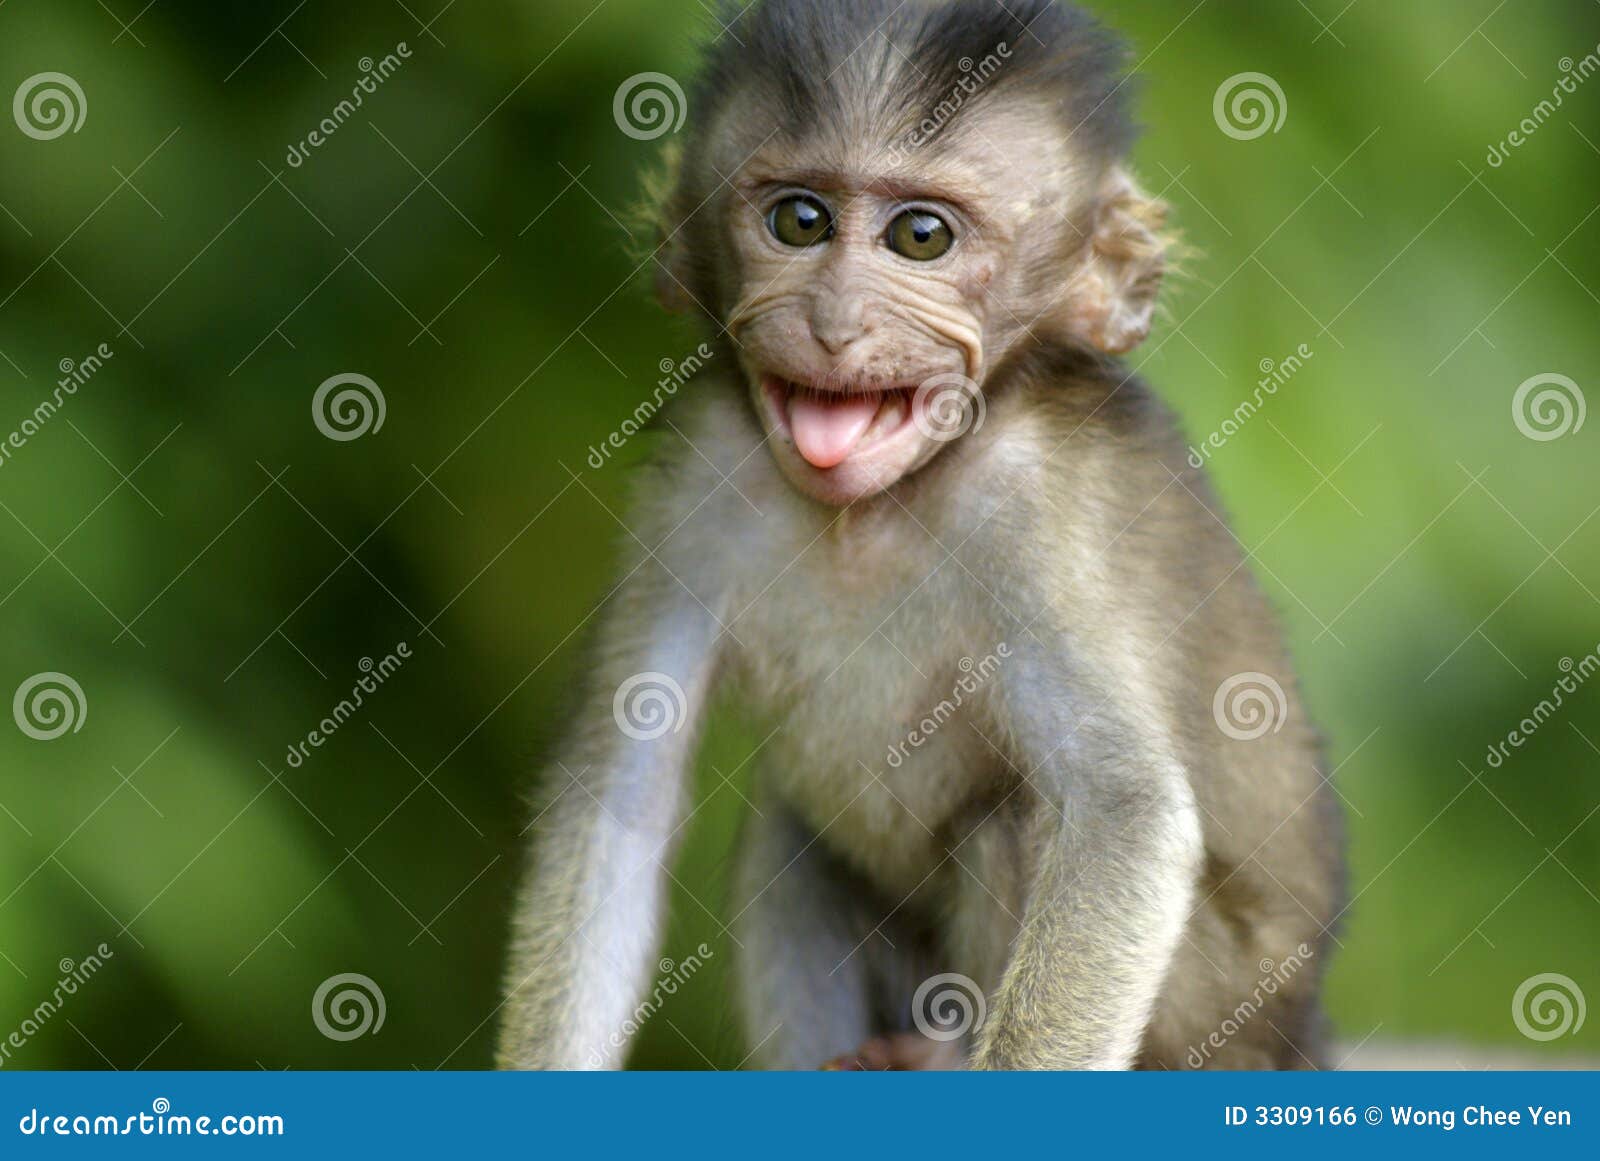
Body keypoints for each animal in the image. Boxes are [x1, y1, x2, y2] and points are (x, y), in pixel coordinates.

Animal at [497, 0, 1343, 1071]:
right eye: (800, 221)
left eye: (921, 236)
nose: (834, 321)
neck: (873, 512)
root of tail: (1299, 1034)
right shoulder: (703, 466)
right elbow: (621, 790)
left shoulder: (1035, 507)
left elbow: (1123, 817)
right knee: (788, 829)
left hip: (1212, 1015)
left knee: (1010, 821)